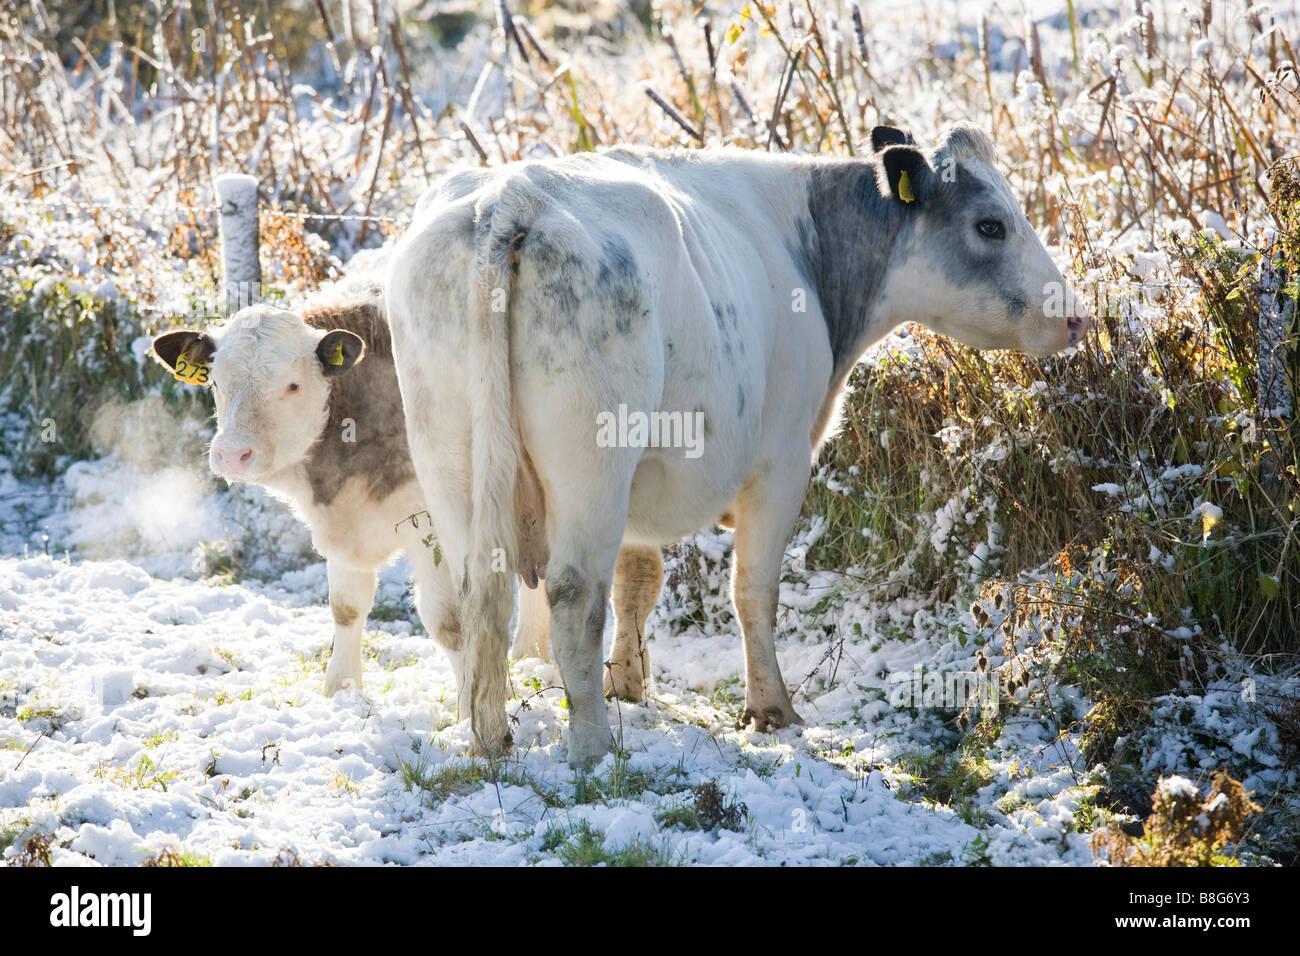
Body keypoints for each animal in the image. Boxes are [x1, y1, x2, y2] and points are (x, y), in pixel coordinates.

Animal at [384, 122, 1091, 768]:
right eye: (991, 225)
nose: (1076, 316)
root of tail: (513, 197)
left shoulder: (640, 487)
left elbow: (639, 580)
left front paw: (631, 685)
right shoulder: (782, 459)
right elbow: (753, 589)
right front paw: (772, 710)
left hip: (452, 458)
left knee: (477, 595)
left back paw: (488, 739)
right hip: (593, 461)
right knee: (573, 593)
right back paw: (590, 750)